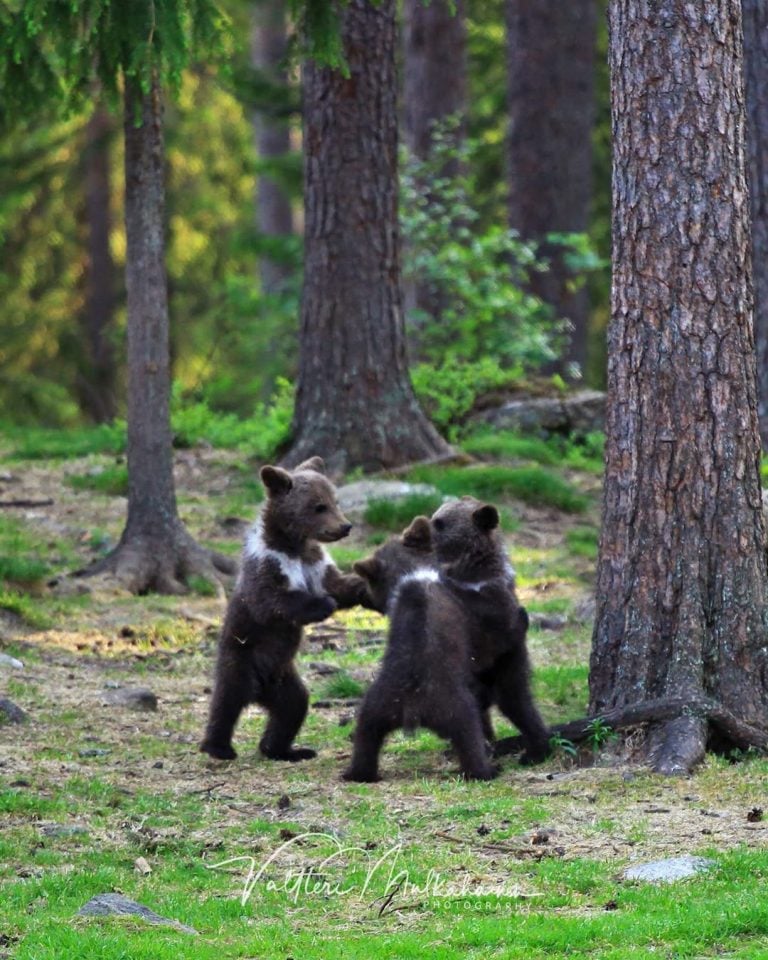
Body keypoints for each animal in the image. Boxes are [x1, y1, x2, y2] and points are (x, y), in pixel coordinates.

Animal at [200, 456, 368, 762]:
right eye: (319, 506)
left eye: (335, 500)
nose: (345, 526)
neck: (293, 545)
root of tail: (259, 691)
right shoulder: (269, 565)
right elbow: (272, 602)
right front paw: (324, 605)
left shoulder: (314, 563)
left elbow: (336, 583)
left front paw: (364, 584)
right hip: (241, 658)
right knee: (226, 701)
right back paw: (218, 747)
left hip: (283, 678)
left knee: (293, 707)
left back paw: (286, 749)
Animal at [343, 517, 498, 783]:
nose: (362, 597)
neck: (411, 574)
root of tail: (412, 707)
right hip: (456, 707)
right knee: (470, 734)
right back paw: (486, 770)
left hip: (376, 705)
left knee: (365, 736)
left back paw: (357, 773)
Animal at [430, 496, 551, 764]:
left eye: (439, 522)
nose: (426, 531)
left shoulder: (497, 602)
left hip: (507, 662)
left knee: (515, 701)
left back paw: (535, 750)